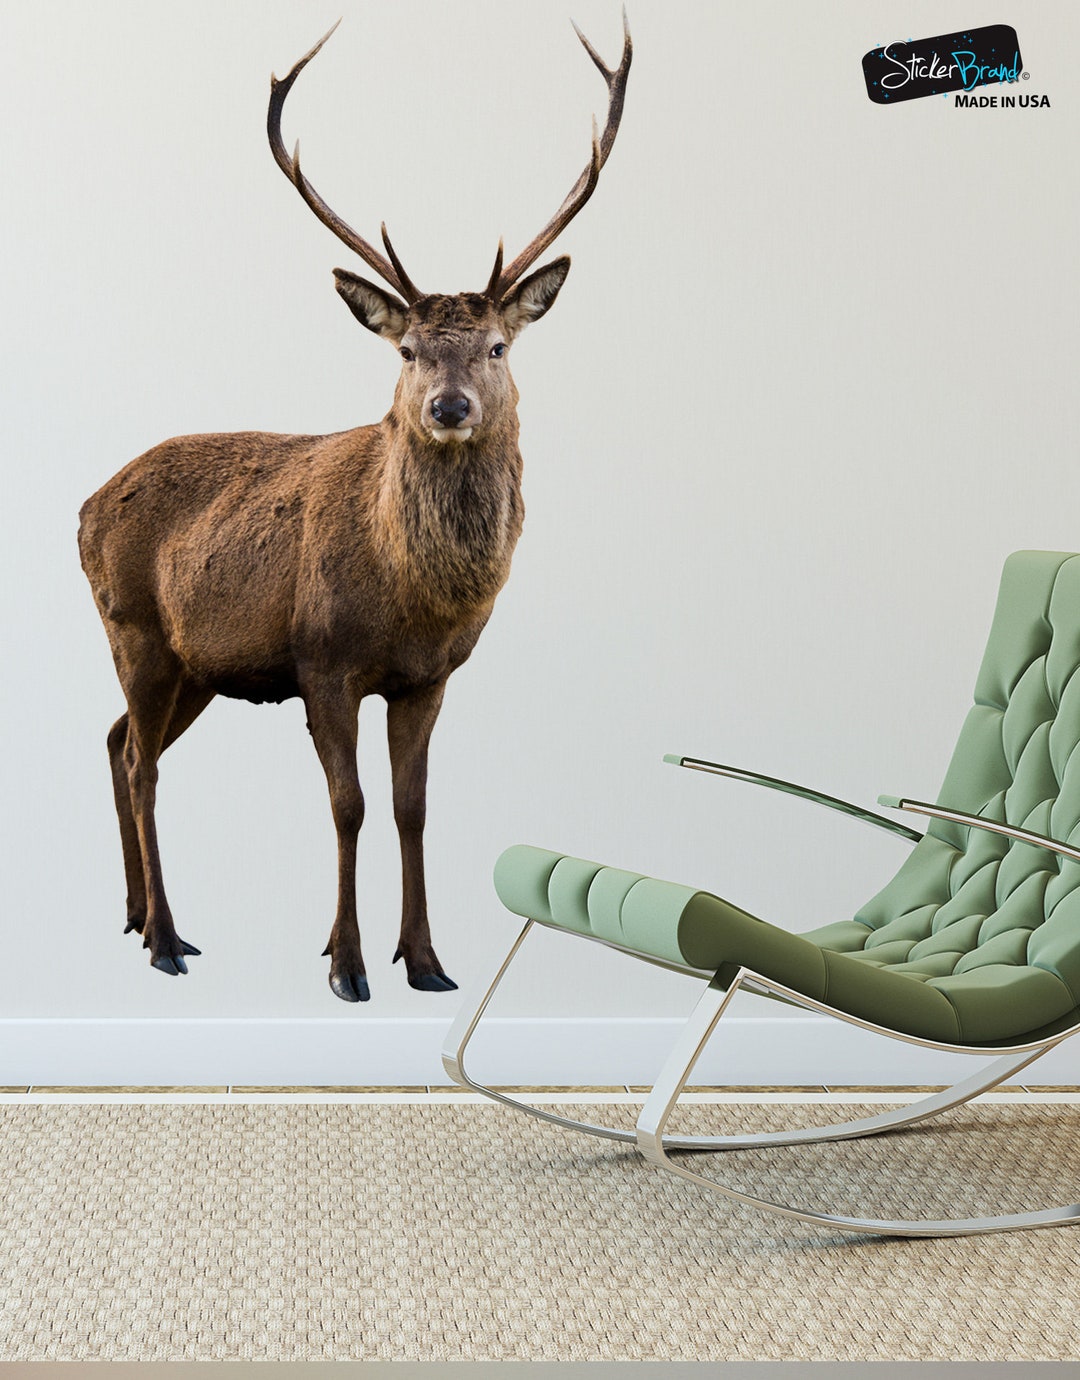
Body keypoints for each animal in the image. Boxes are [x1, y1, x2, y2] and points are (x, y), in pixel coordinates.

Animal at [77, 16, 631, 1002]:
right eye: (408, 351)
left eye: (497, 345)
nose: (448, 407)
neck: (411, 600)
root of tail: (79, 508)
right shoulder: (321, 660)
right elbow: (350, 805)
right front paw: (347, 963)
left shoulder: (430, 677)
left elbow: (412, 807)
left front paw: (428, 961)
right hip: (133, 627)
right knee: (140, 762)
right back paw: (168, 939)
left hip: (195, 664)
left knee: (115, 743)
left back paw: (138, 915)